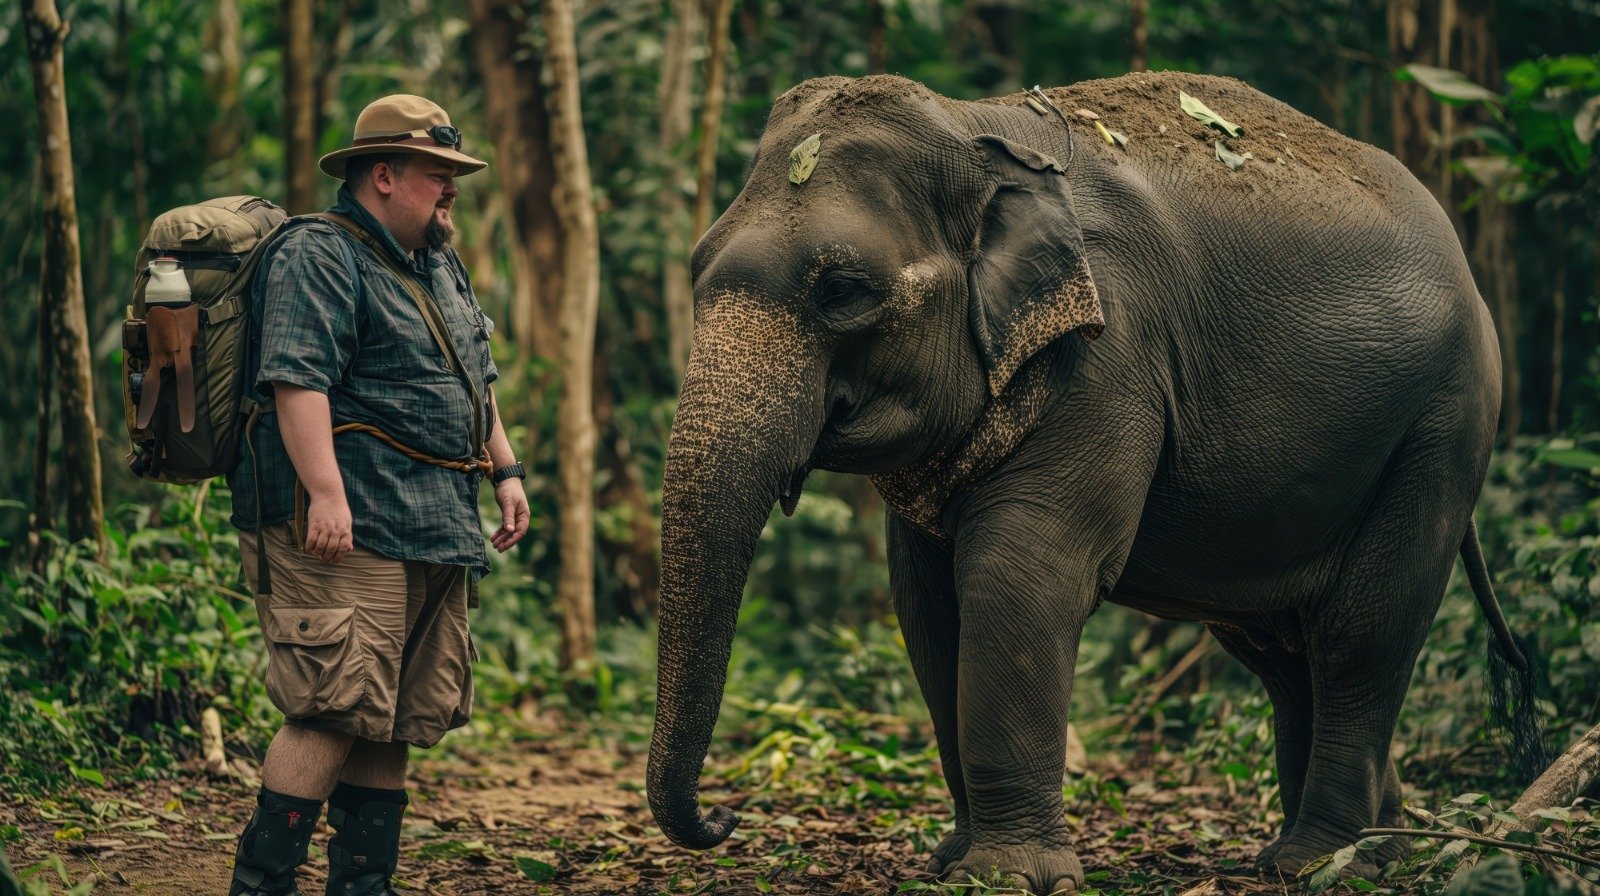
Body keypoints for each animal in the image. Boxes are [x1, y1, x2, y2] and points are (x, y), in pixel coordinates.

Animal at [647, 70, 1540, 894]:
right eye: (694, 268)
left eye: (841, 291)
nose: (725, 816)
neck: (979, 128)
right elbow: (926, 602)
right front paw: (952, 861)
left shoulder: (1114, 355)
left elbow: (1017, 575)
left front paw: (1006, 876)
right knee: (1287, 657)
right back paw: (1368, 849)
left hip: (1445, 426)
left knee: (1363, 632)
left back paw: (1320, 863)